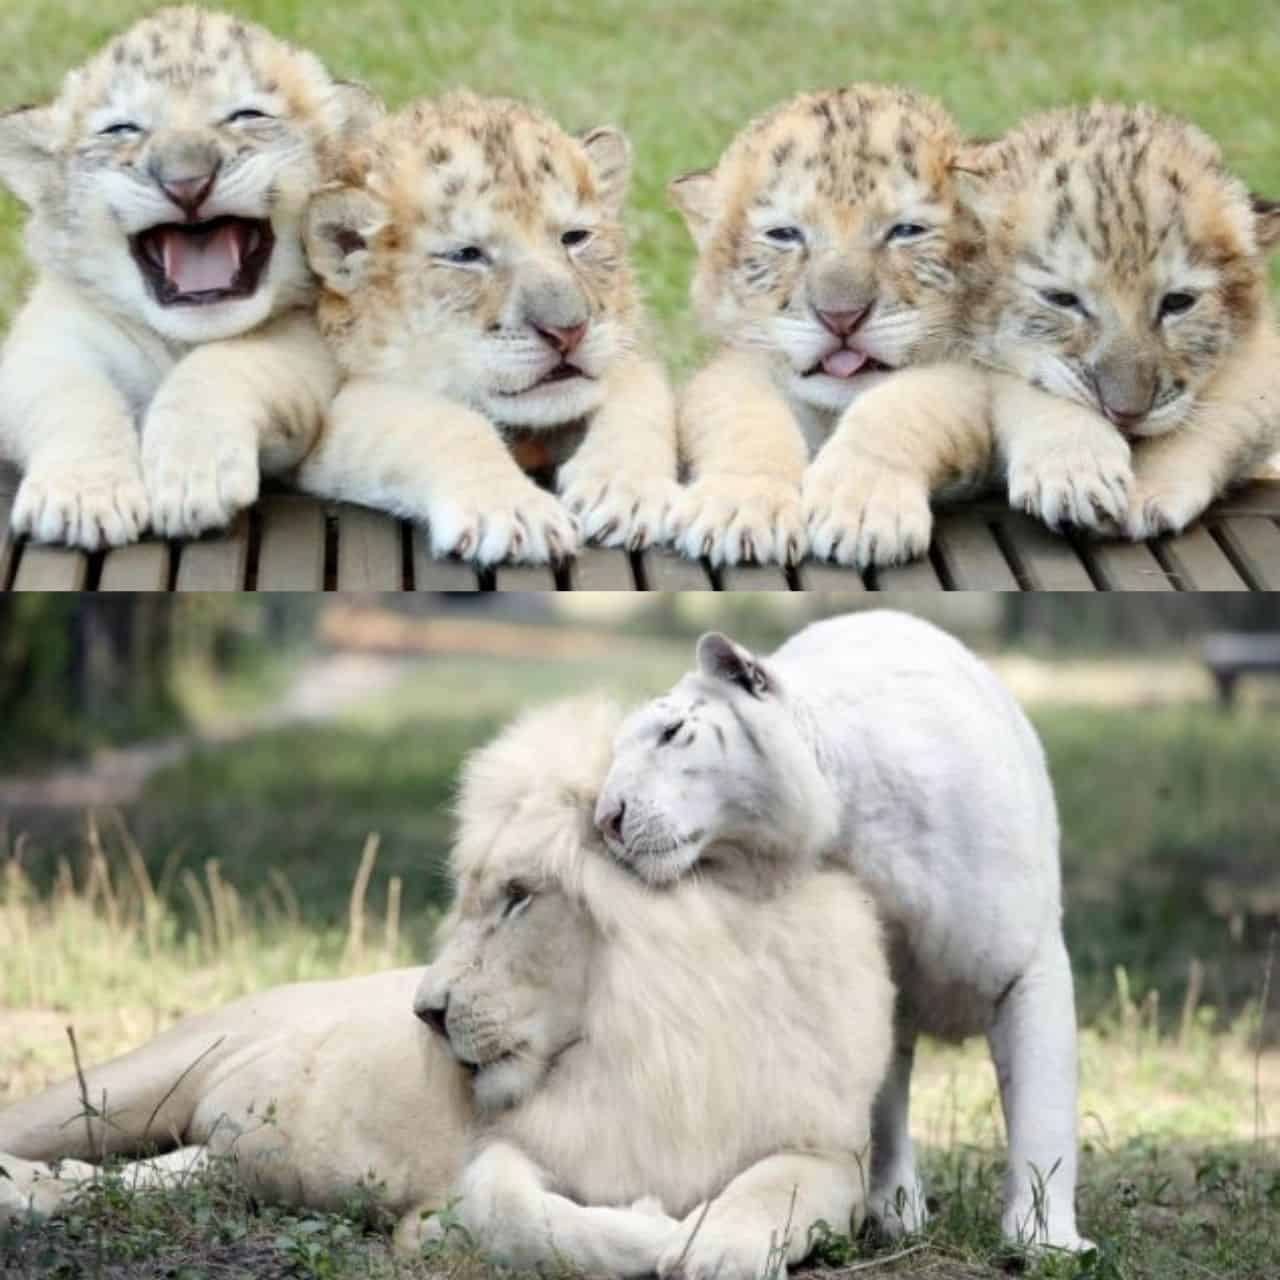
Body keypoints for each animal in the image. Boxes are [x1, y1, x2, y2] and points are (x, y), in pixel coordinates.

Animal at [0, 7, 379, 548]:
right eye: (122, 128)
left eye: (247, 115)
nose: (186, 183)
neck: (180, 339)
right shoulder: (47, 340)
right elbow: (71, 396)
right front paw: (82, 499)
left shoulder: (310, 345)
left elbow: (220, 366)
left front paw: (191, 483)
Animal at [297, 93, 678, 565]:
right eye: (466, 255)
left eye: (575, 237)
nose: (568, 332)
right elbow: (440, 421)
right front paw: (517, 514)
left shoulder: (630, 352)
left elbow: (639, 394)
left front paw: (625, 492)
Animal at [594, 610, 1091, 1253]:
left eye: (672, 732)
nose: (605, 819)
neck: (852, 820)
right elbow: (880, 1105)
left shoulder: (1027, 965)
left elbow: (1042, 1109)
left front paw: (1045, 1241)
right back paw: (896, 1212)